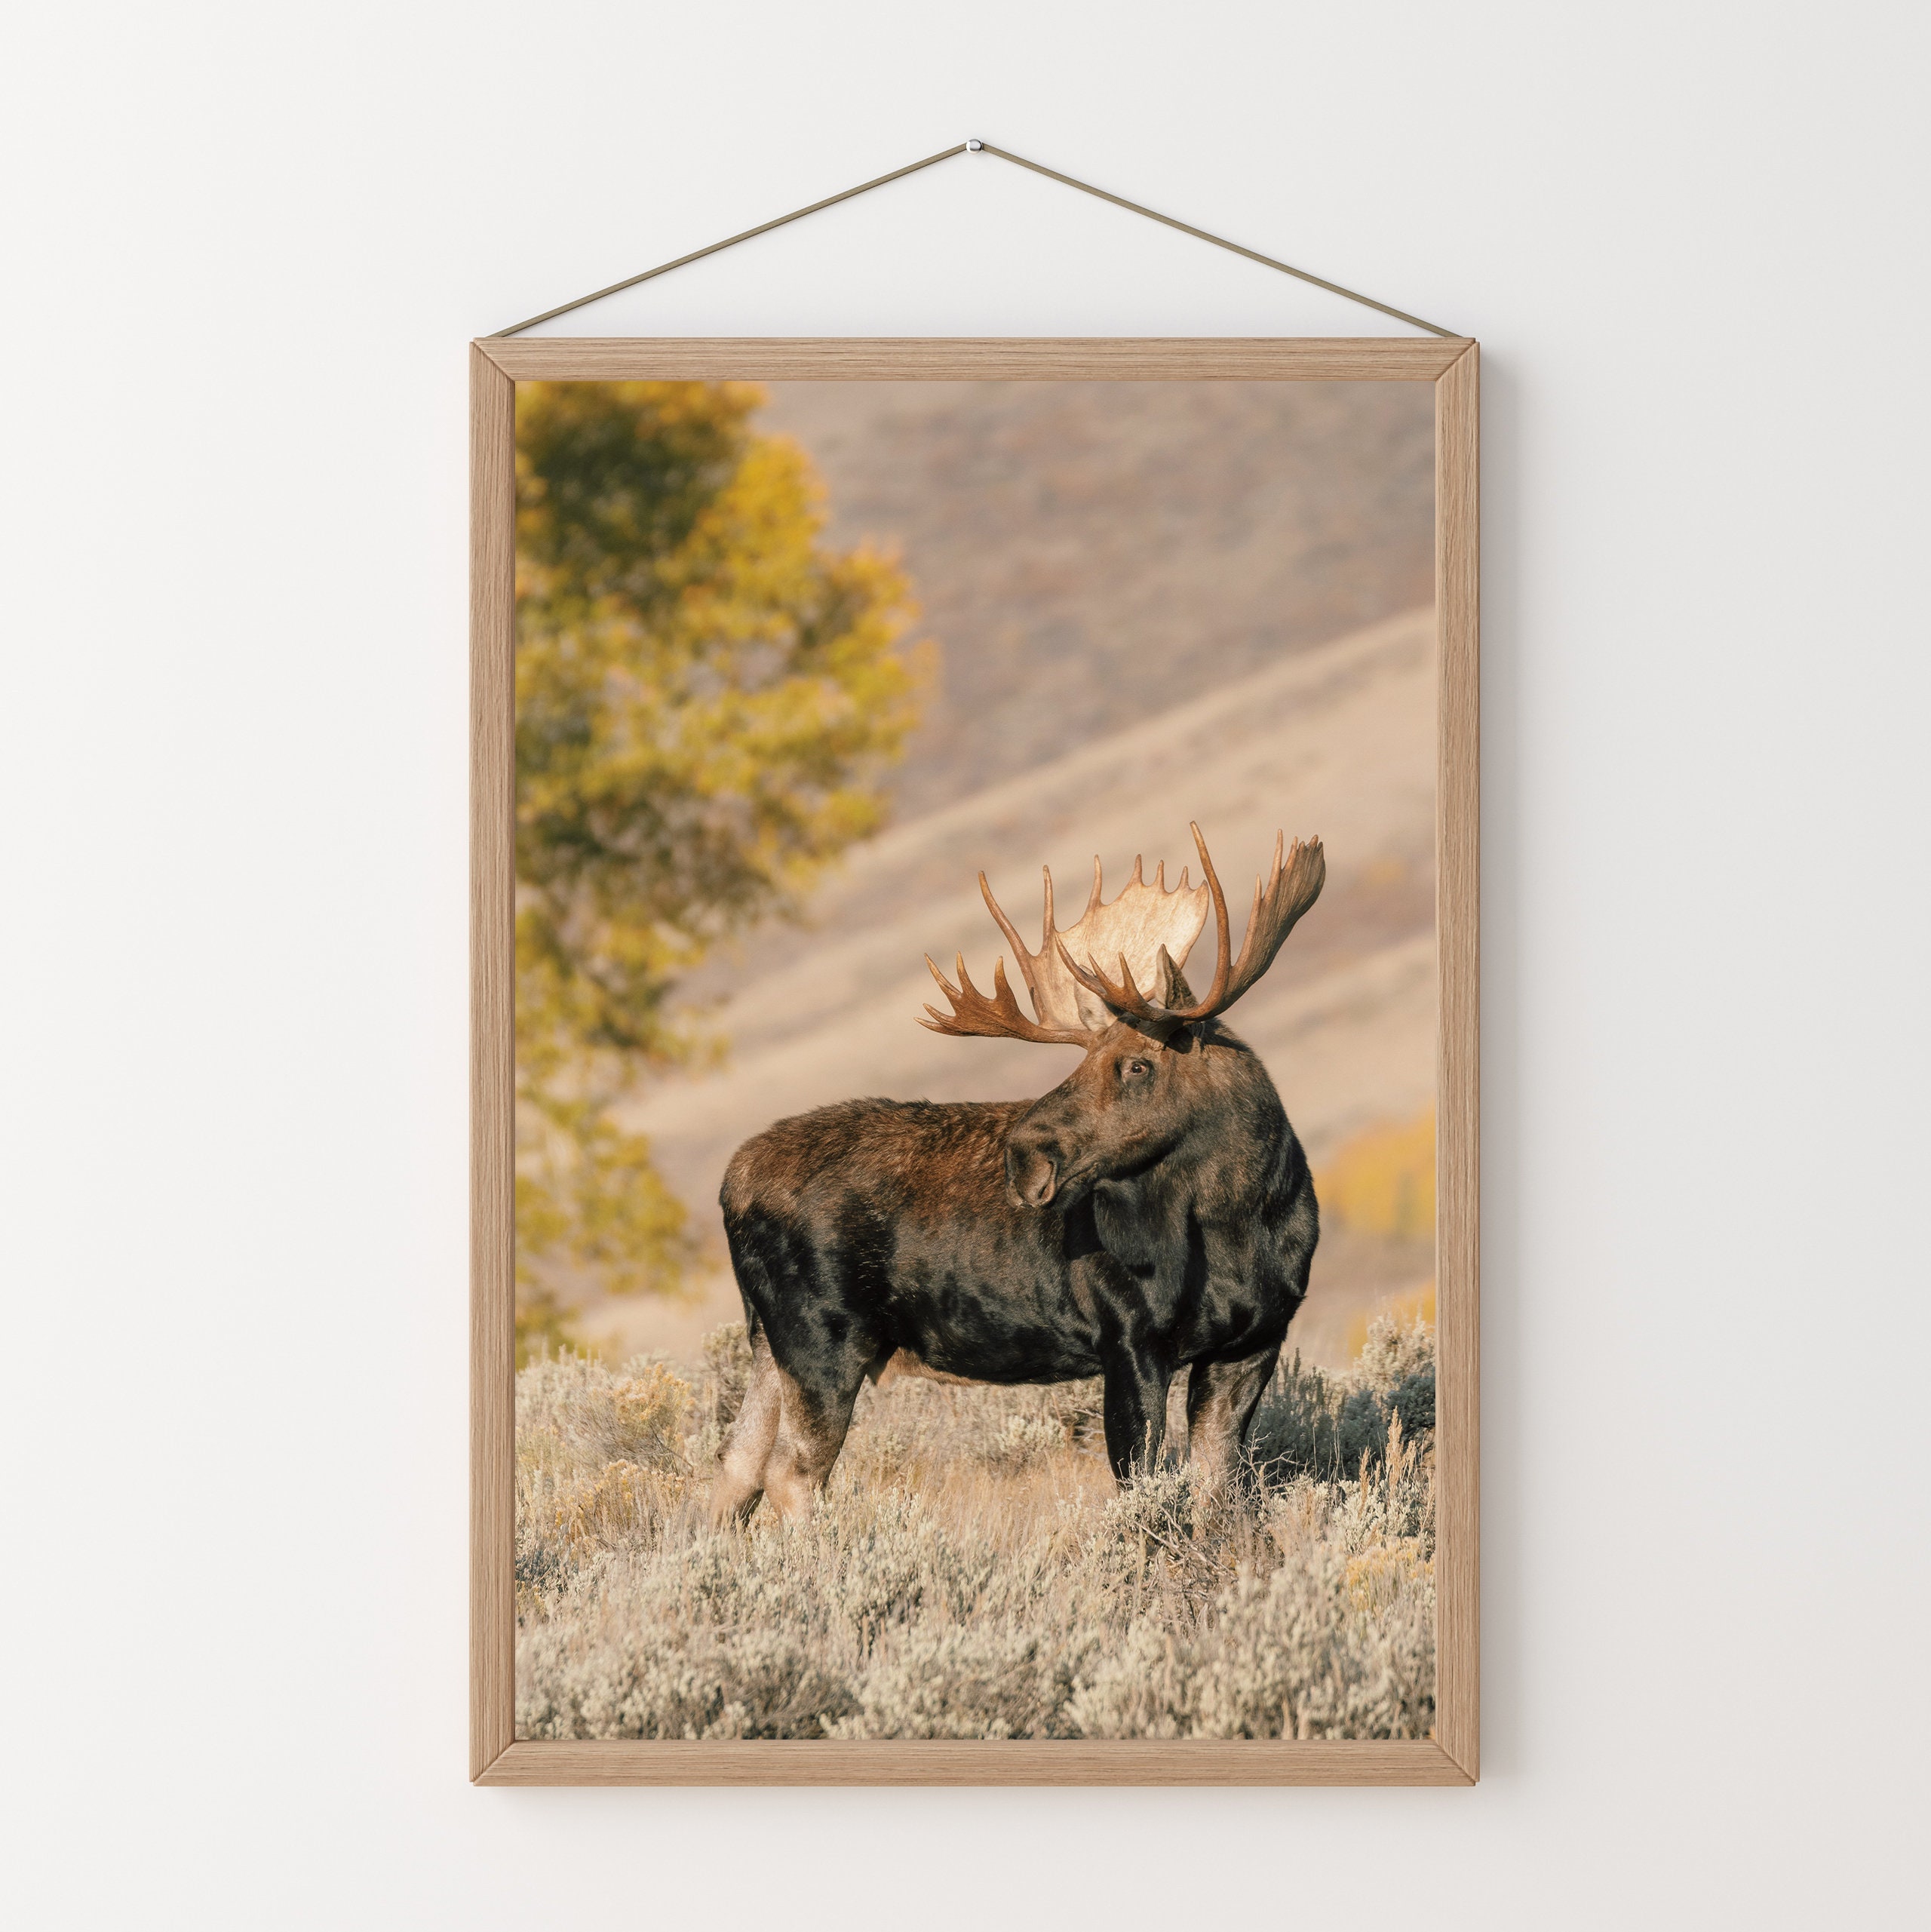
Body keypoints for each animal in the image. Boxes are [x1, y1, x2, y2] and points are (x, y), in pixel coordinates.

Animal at [710, 822, 1326, 1523]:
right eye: (1085, 1063)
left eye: (1138, 1064)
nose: (1025, 1151)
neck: (1243, 1221)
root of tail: (731, 1185)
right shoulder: (1128, 1337)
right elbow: (1143, 1492)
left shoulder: (1255, 1339)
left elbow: (1221, 1490)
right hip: (822, 1338)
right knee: (791, 1473)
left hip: (770, 1344)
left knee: (735, 1468)